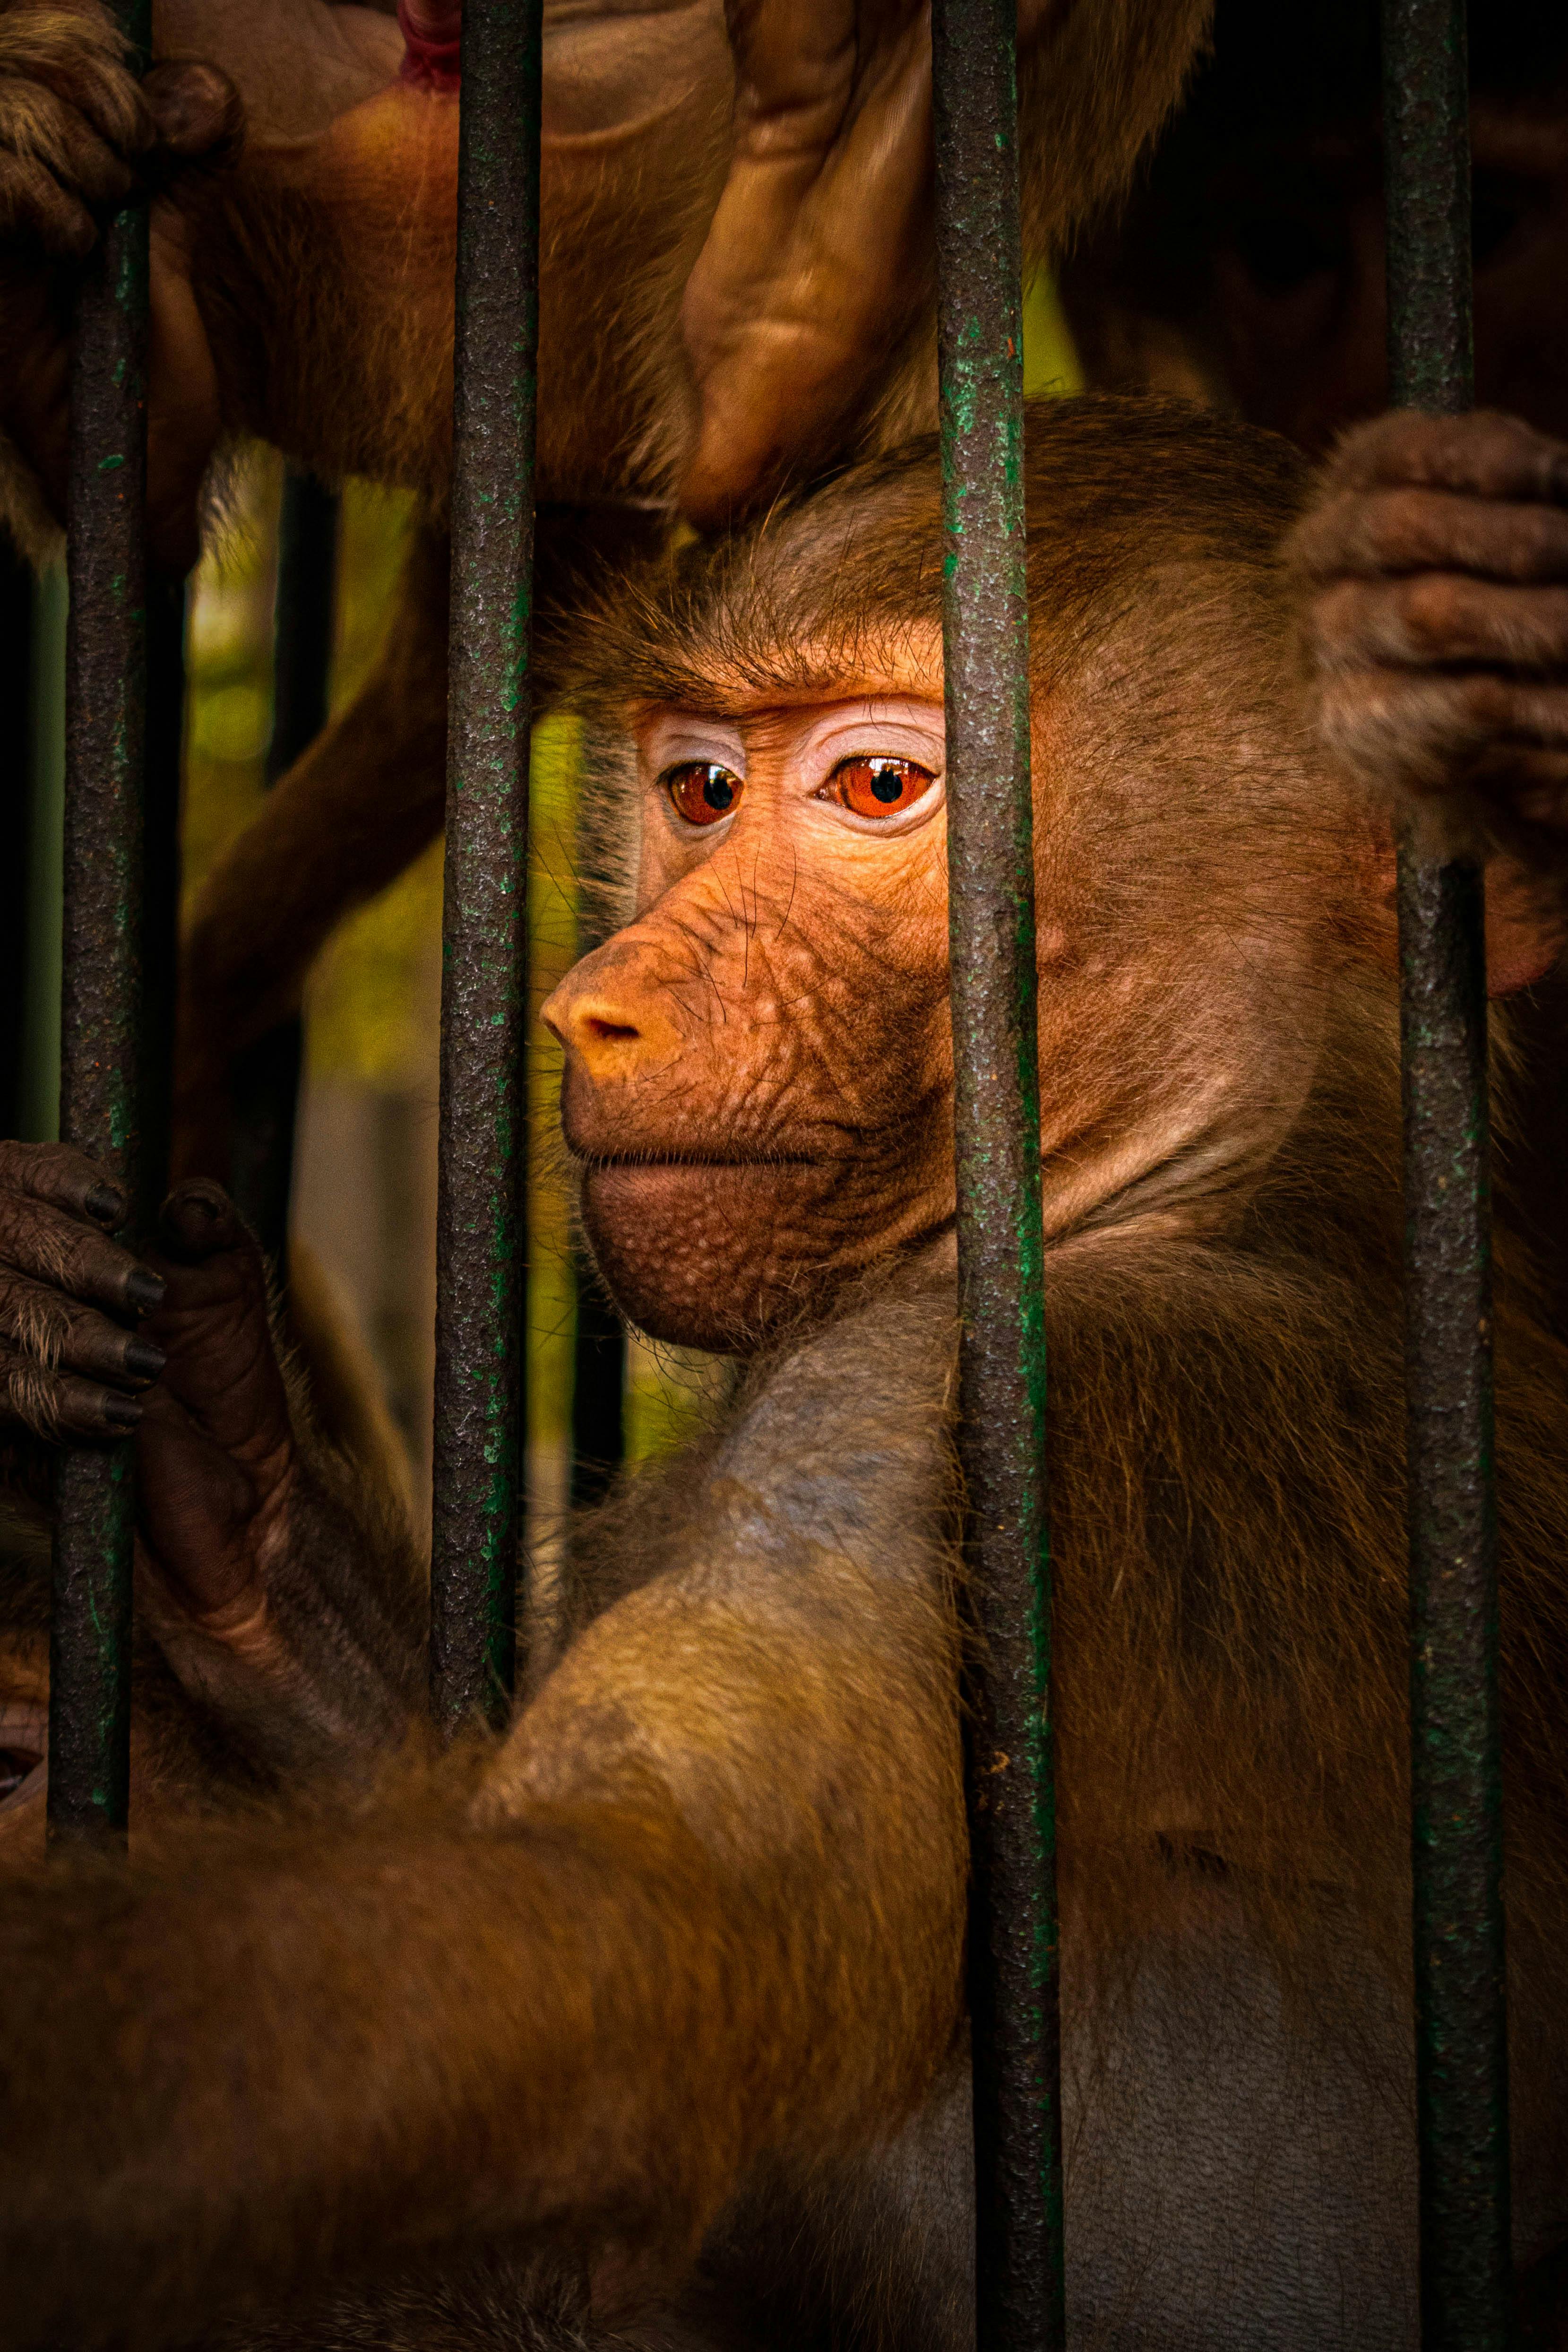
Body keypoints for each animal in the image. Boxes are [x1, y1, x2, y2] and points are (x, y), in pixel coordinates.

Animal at [2, 394, 1568, 2348]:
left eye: (879, 790)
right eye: (699, 792)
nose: (595, 1002)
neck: (1221, 1185)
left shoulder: (923, 1392)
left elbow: (645, 1929)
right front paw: (237, 1483)